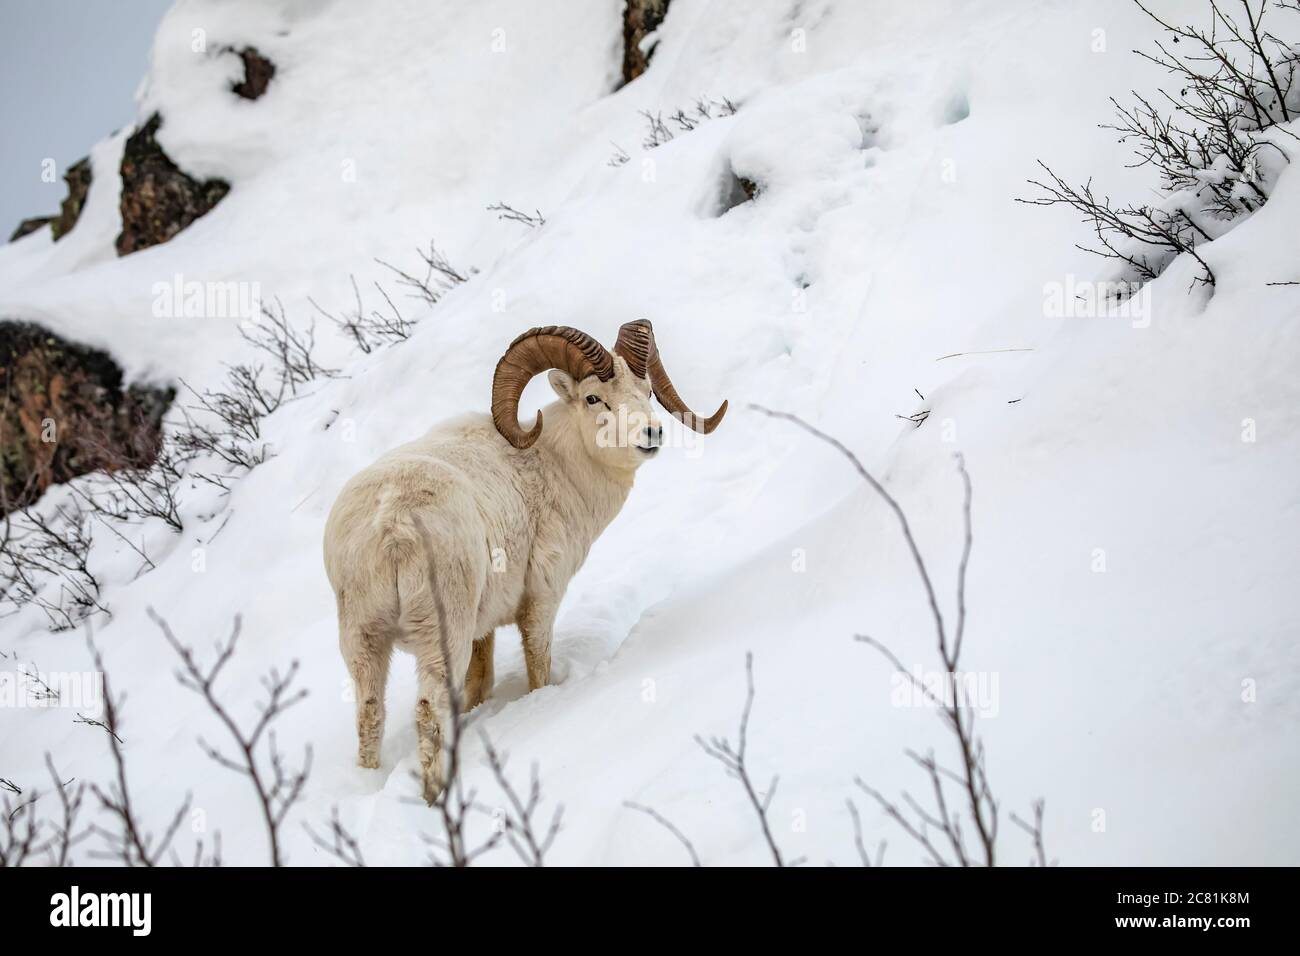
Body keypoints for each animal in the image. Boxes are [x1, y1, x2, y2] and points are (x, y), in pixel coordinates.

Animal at [322, 321, 727, 803]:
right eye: (594, 399)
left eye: (645, 390)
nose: (650, 434)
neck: (557, 465)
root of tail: (391, 526)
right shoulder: (541, 599)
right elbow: (538, 664)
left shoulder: (483, 631)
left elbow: (481, 681)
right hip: (441, 636)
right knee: (427, 712)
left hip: (363, 641)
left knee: (370, 714)